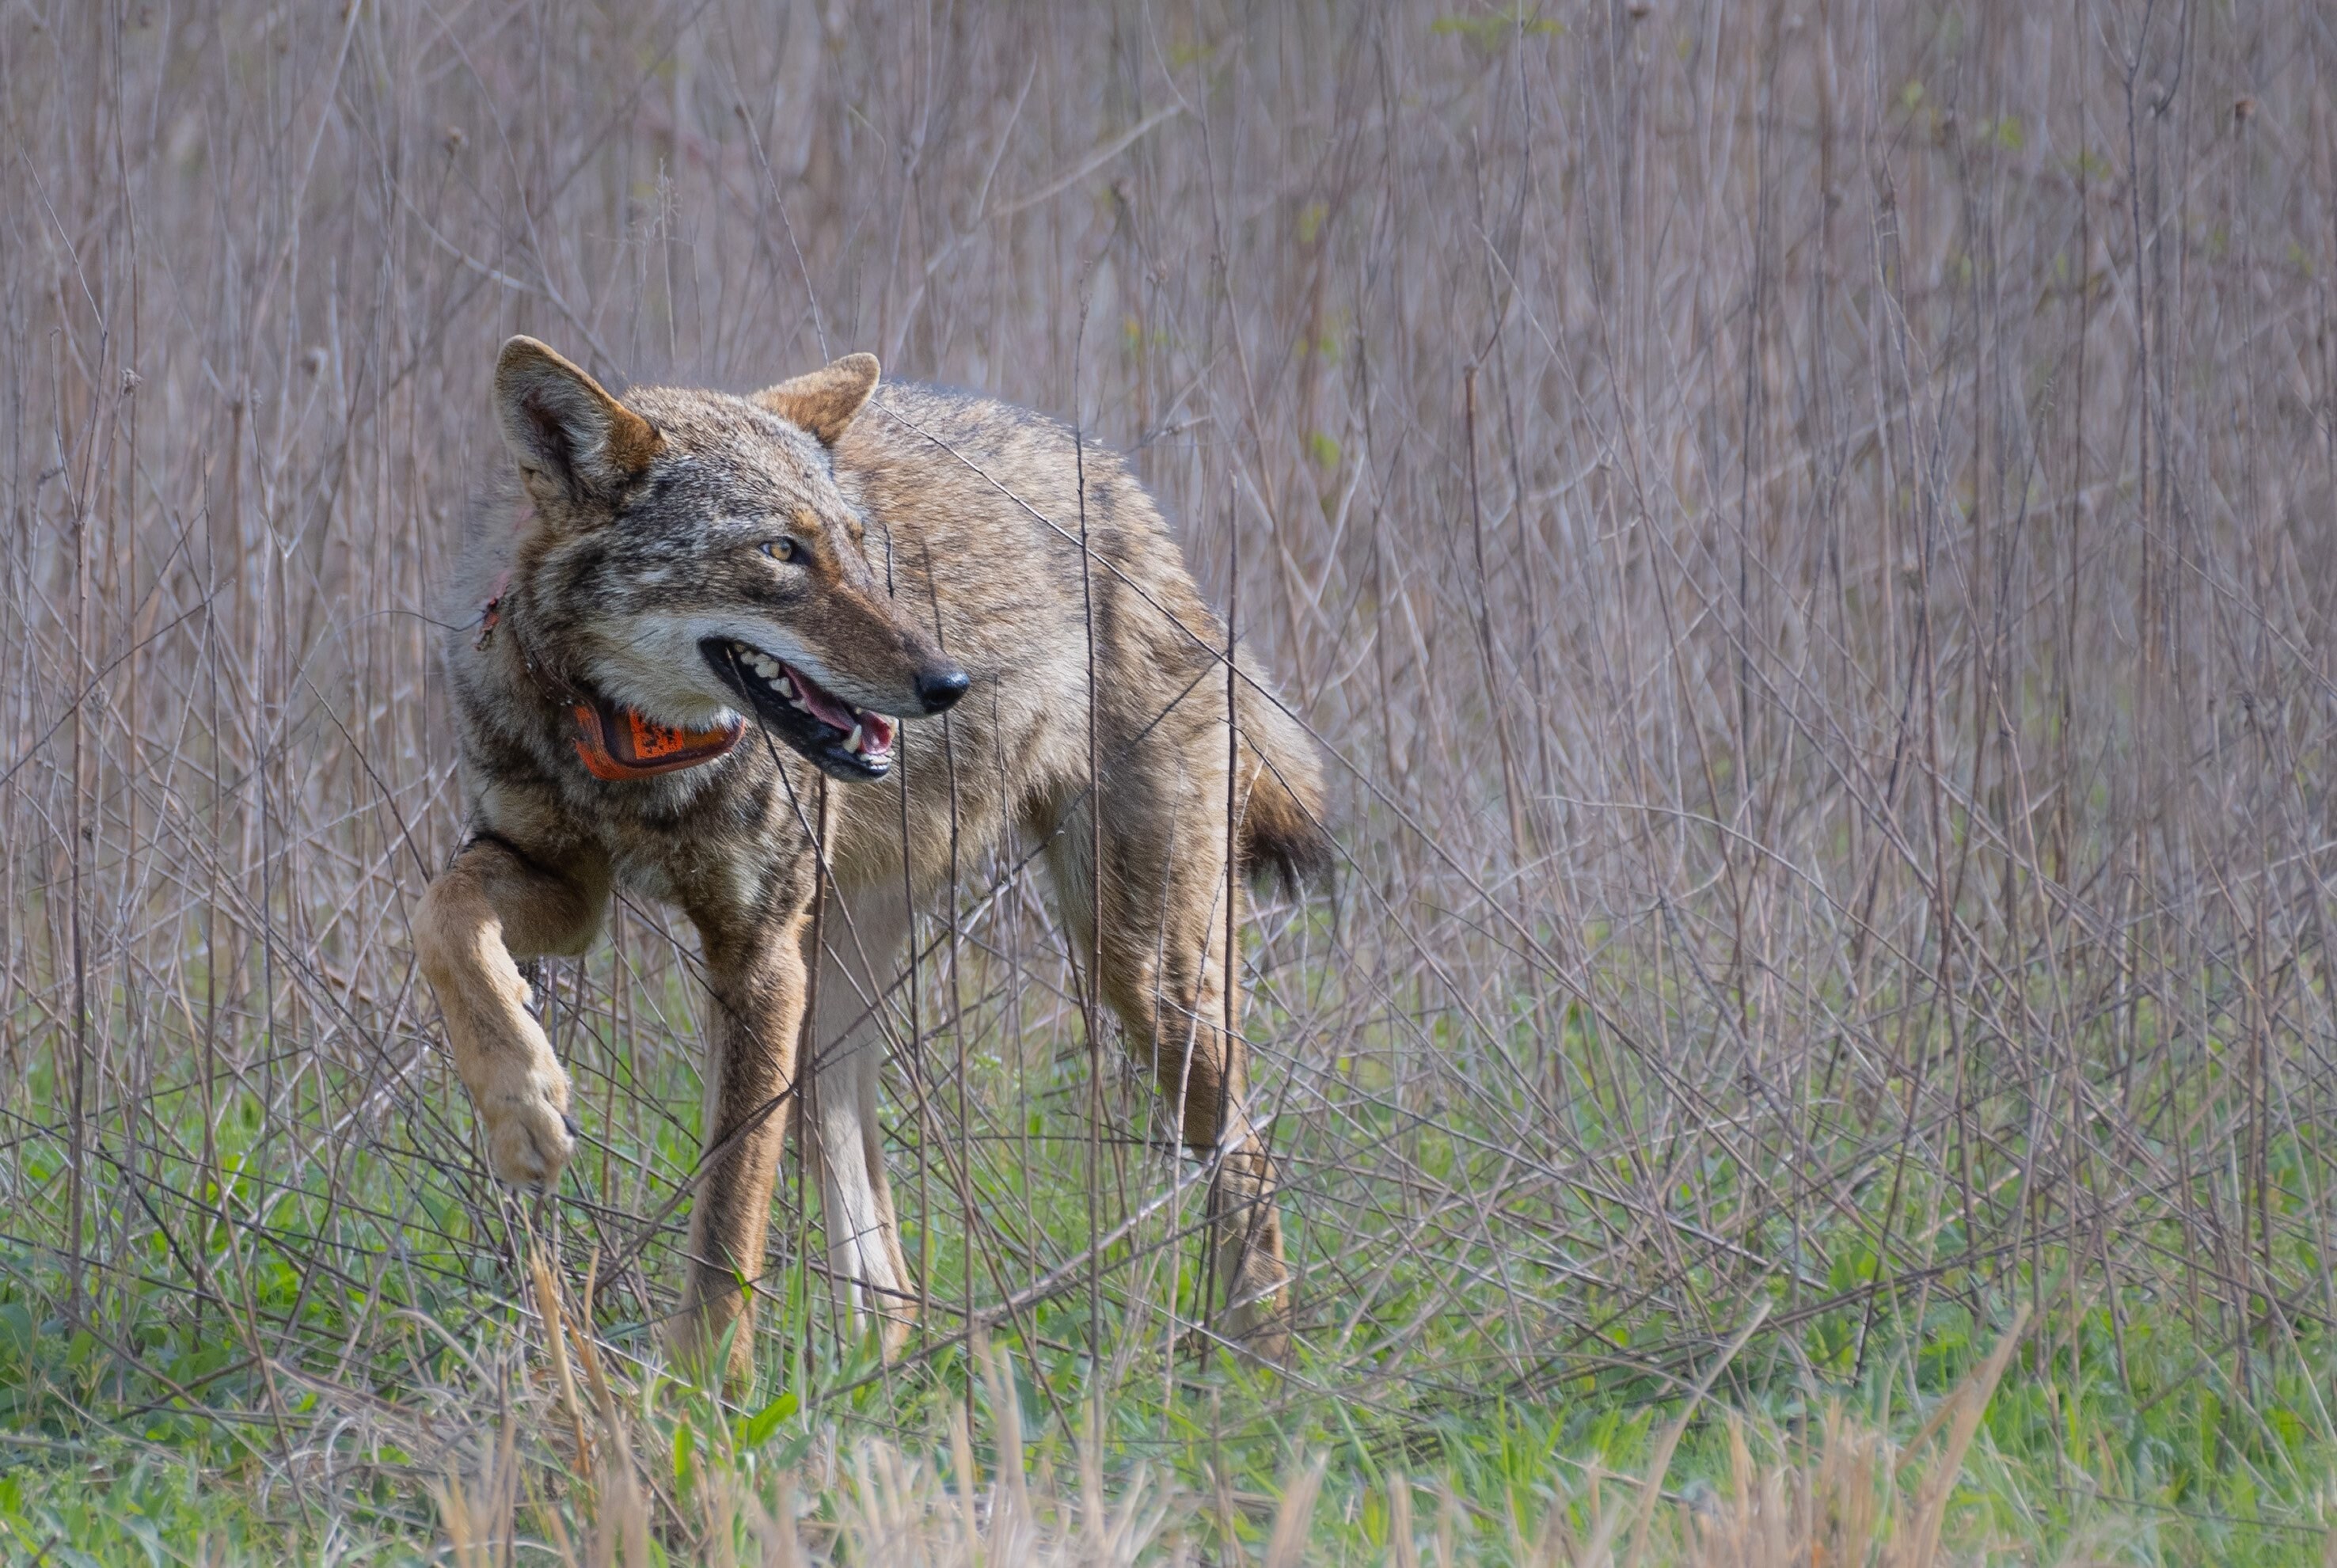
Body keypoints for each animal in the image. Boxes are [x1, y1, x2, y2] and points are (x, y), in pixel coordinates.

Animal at [415, 336, 1330, 1383]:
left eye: (859, 545)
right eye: (781, 553)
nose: (949, 683)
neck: (632, 754)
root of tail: (1128, 491)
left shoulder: (755, 956)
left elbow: (730, 1212)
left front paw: (704, 1392)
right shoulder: (562, 884)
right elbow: (443, 924)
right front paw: (522, 1108)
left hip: (1137, 973)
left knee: (1248, 1155)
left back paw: (1259, 1368)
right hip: (836, 992)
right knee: (886, 1266)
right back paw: (878, 1372)